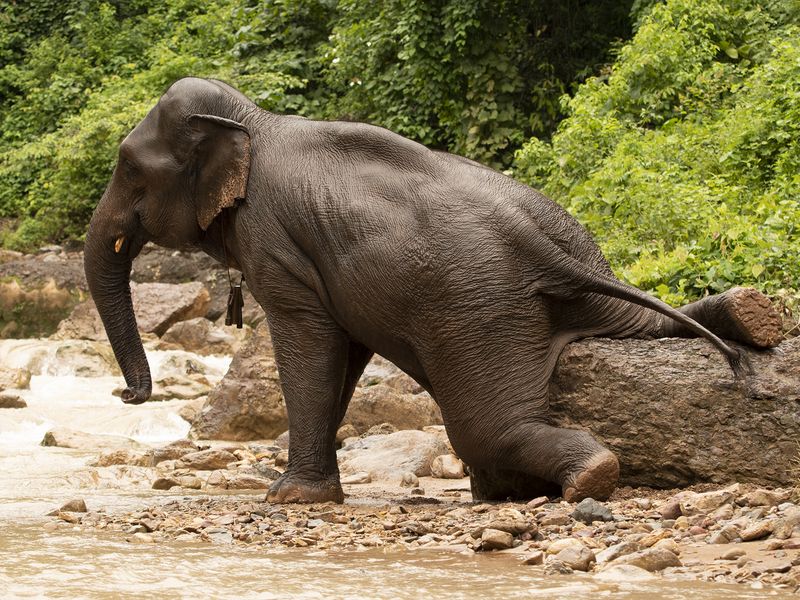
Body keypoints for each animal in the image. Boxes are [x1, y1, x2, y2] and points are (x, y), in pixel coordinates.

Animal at [84, 77, 782, 504]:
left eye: (128, 169)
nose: (126, 395)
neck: (253, 119)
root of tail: (538, 240)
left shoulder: (273, 239)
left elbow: (307, 337)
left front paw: (288, 498)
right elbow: (345, 349)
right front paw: (308, 493)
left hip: (477, 307)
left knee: (483, 428)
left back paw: (586, 478)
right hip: (569, 262)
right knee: (634, 322)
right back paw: (752, 315)